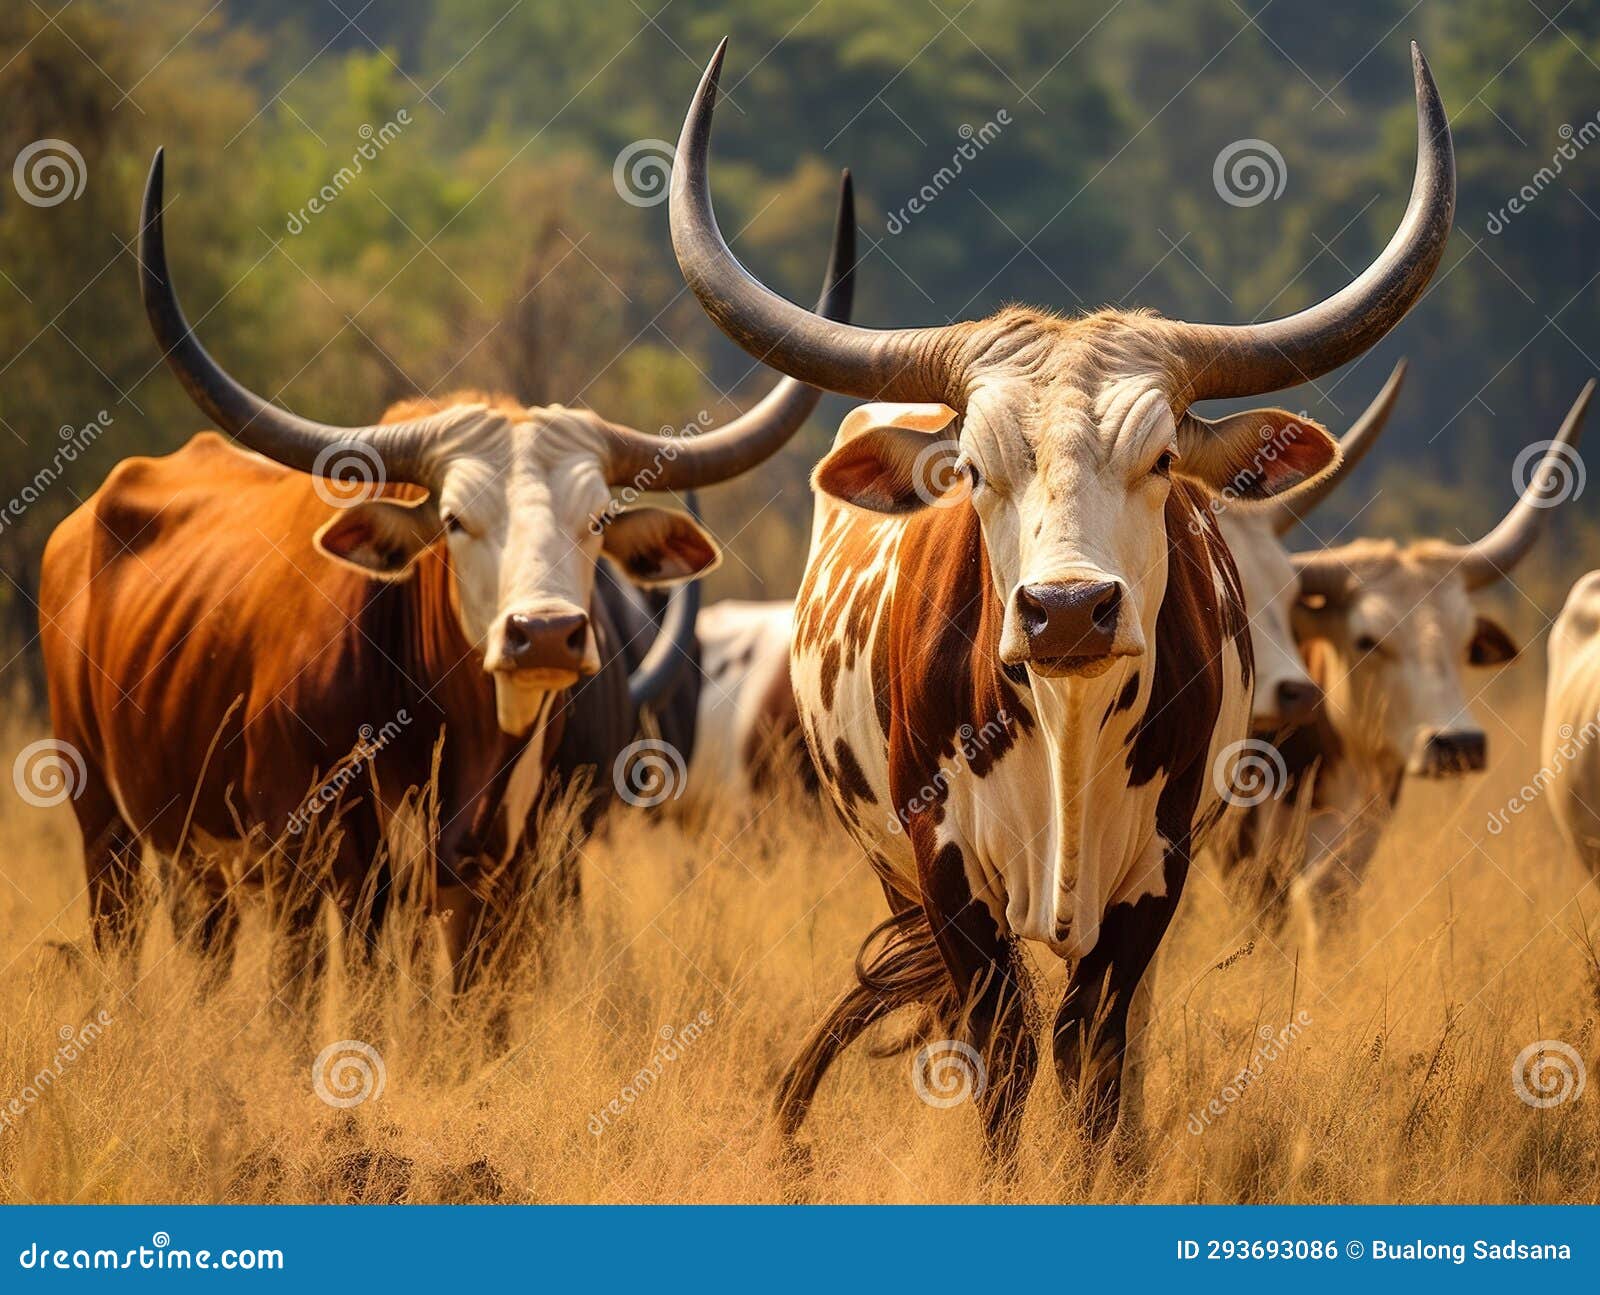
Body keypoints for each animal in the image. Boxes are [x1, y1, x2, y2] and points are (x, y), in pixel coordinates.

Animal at [37, 148, 854, 1007]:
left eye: (597, 518)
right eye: (455, 519)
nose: (545, 634)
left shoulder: (510, 878)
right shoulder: (312, 863)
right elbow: (311, 1003)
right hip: (104, 825)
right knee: (127, 937)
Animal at [668, 39, 1454, 1156]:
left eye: (1162, 457)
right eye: (971, 468)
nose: (1069, 610)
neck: (1067, 729)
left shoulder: (1155, 879)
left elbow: (1094, 1052)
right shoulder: (945, 870)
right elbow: (1000, 1050)